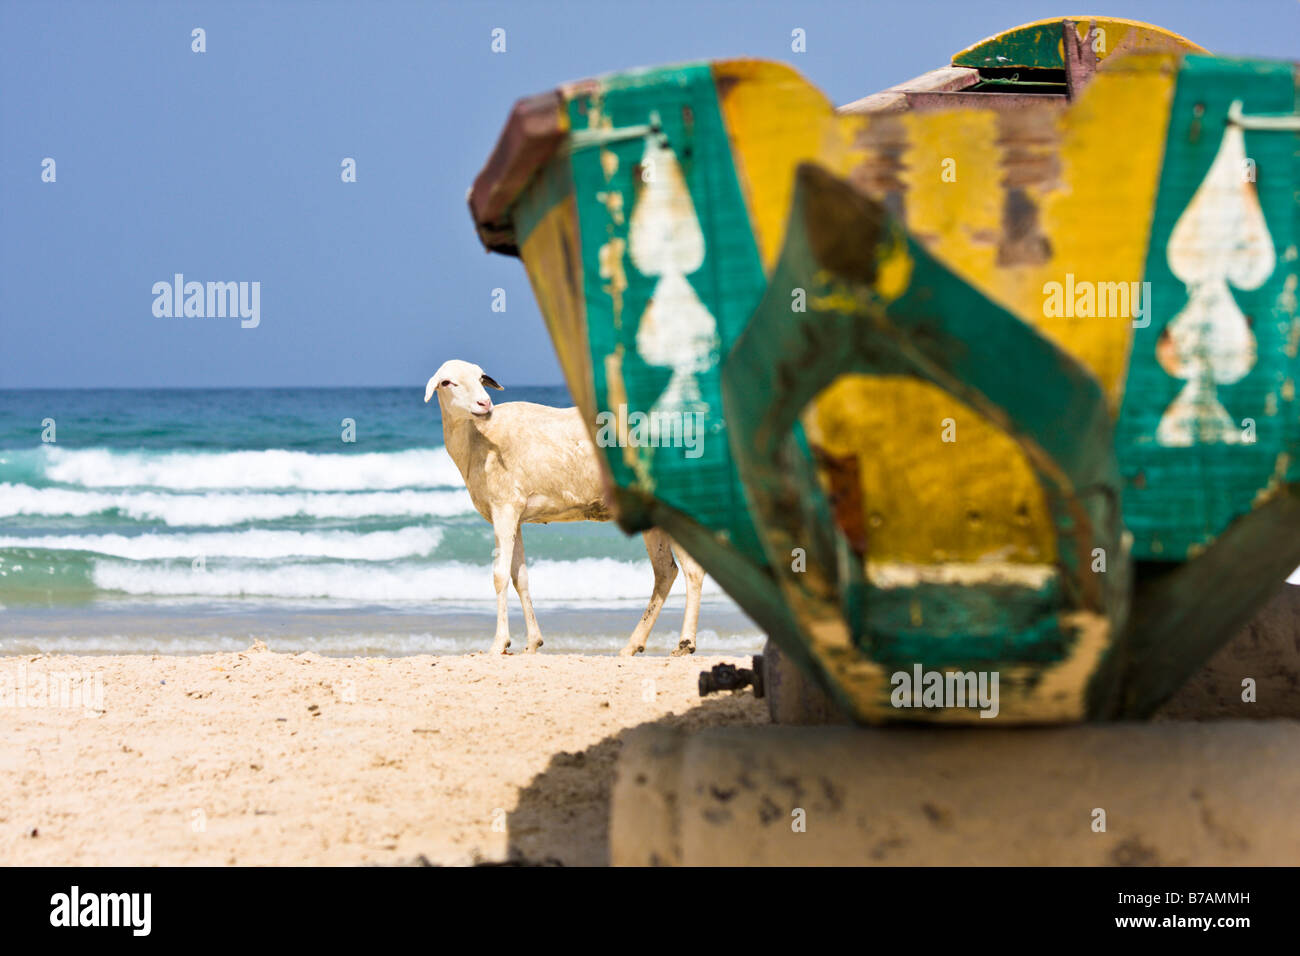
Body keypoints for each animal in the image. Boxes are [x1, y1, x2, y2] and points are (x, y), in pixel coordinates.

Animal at [425, 359, 706, 656]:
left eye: (480, 379)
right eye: (447, 382)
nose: (484, 403)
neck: (479, 439)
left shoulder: (504, 507)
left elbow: (499, 575)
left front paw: (499, 644)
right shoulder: (516, 515)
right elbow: (520, 577)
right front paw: (533, 644)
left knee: (690, 569)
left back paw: (684, 644)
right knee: (665, 571)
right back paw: (632, 646)